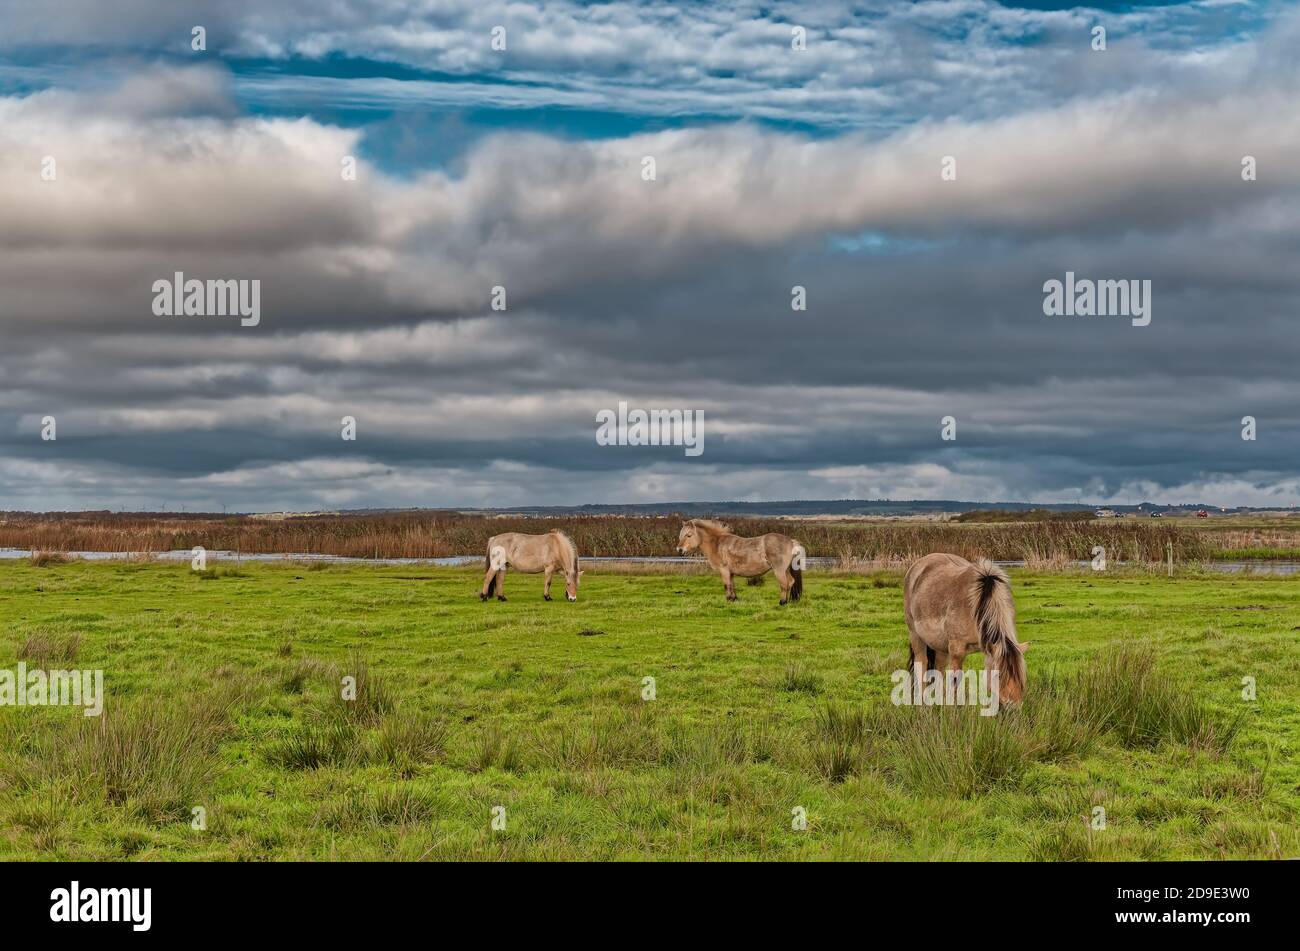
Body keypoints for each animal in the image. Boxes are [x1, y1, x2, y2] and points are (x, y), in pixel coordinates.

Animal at [675, 518, 805, 604]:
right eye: (681, 535)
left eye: (689, 535)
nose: (679, 550)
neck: (717, 544)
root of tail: (791, 541)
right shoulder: (731, 572)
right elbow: (732, 585)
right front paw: (734, 599)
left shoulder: (724, 570)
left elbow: (726, 585)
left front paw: (728, 600)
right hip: (785, 570)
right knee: (791, 582)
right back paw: (788, 601)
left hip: (779, 570)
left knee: (784, 584)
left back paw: (782, 602)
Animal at [902, 553, 1029, 705]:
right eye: (998, 676)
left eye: (1021, 676)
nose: (1012, 706)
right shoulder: (957, 651)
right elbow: (955, 683)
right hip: (915, 635)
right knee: (921, 665)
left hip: (940, 645)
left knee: (939, 669)